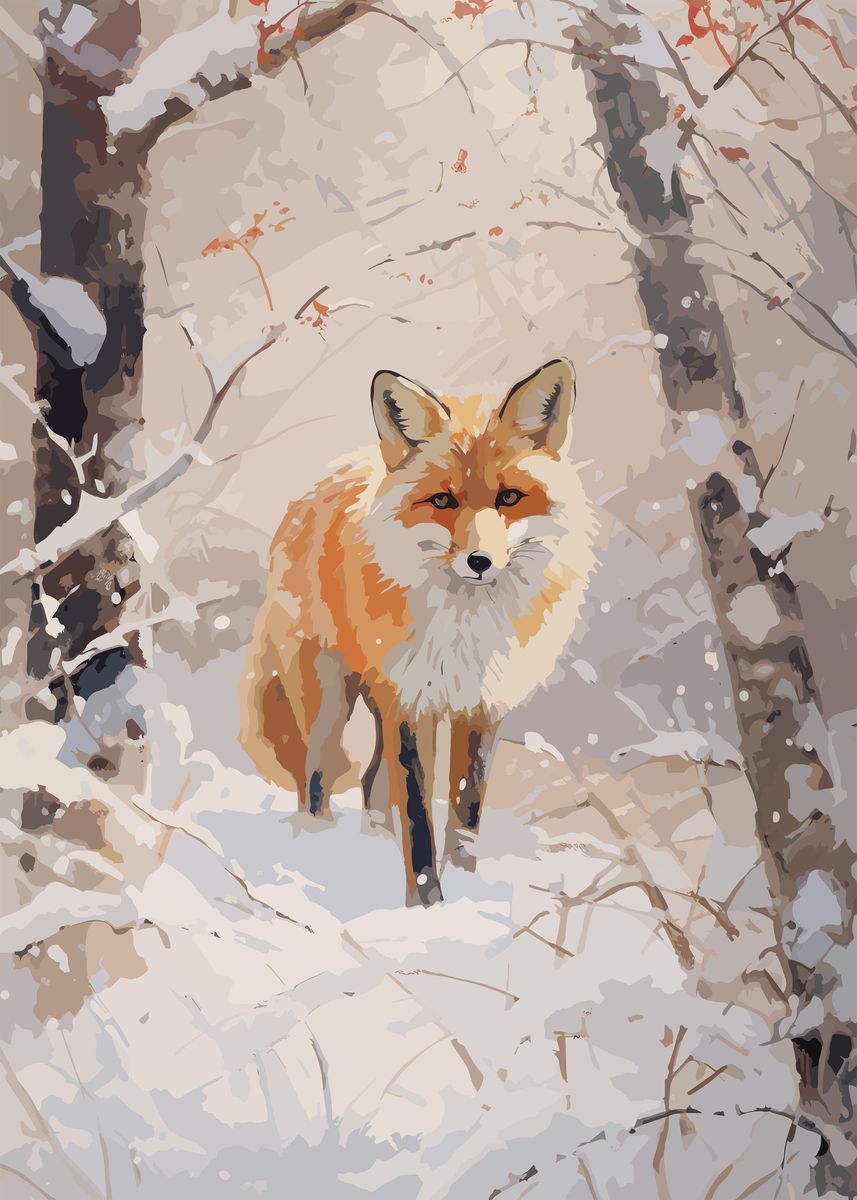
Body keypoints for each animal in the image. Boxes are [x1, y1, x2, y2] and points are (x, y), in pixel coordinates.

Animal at [239, 359, 597, 906]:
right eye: (443, 500)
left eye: (509, 497)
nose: (479, 561)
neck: (464, 628)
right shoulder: (410, 704)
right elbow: (417, 818)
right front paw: (426, 907)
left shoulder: (480, 706)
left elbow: (466, 811)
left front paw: (465, 895)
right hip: (329, 702)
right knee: (316, 782)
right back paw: (318, 851)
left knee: (369, 782)